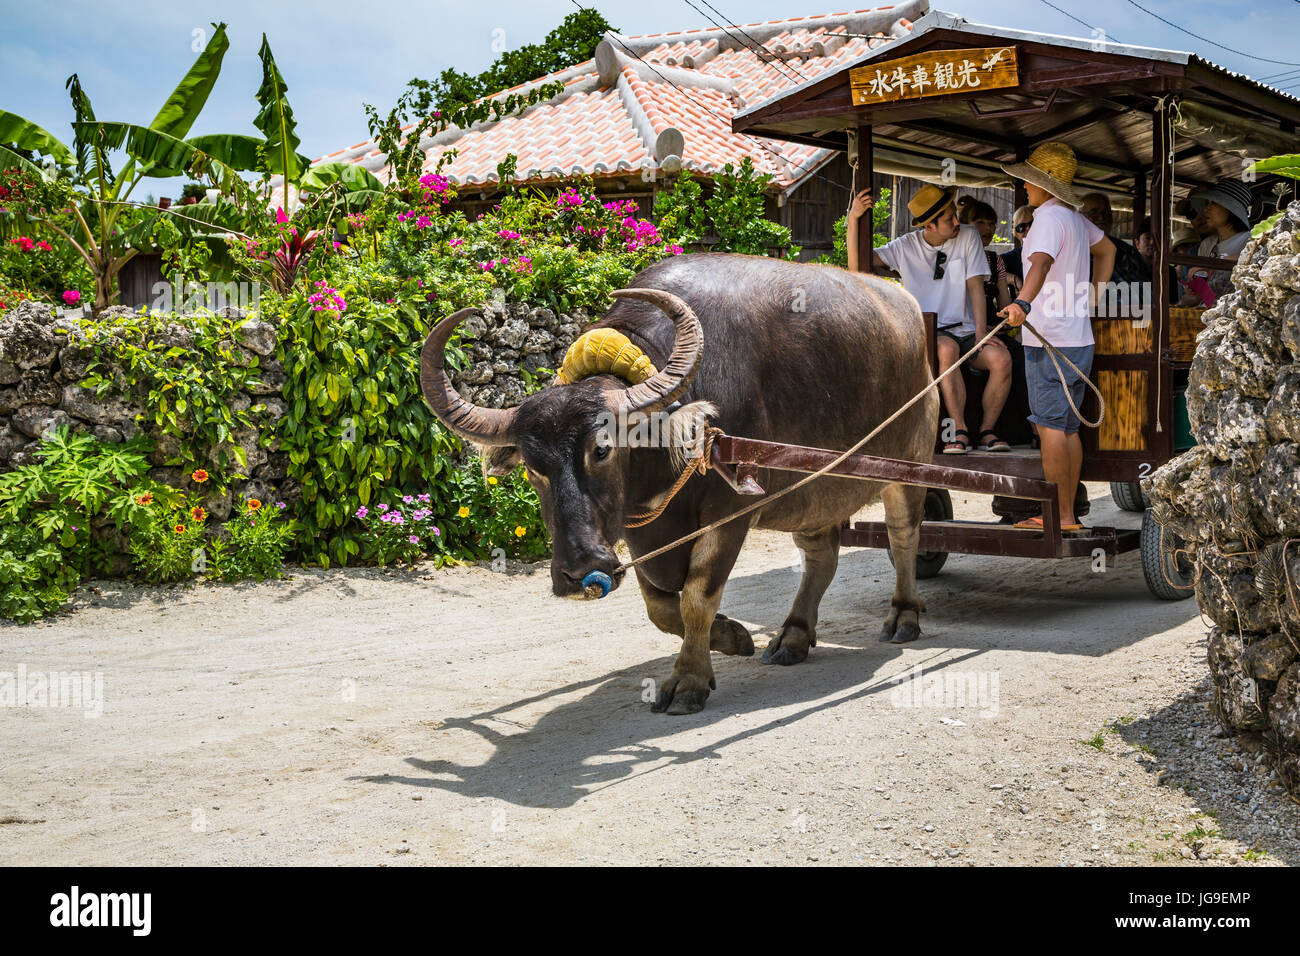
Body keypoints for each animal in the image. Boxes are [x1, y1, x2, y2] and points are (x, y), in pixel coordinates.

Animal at [421, 253, 939, 714]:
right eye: (533, 467)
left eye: (602, 449)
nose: (578, 571)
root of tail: (909, 309)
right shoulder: (640, 528)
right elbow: (658, 603)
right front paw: (732, 637)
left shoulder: (729, 514)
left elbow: (696, 597)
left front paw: (689, 680)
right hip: (813, 490)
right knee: (820, 556)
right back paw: (792, 636)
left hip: (909, 465)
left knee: (904, 536)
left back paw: (903, 615)